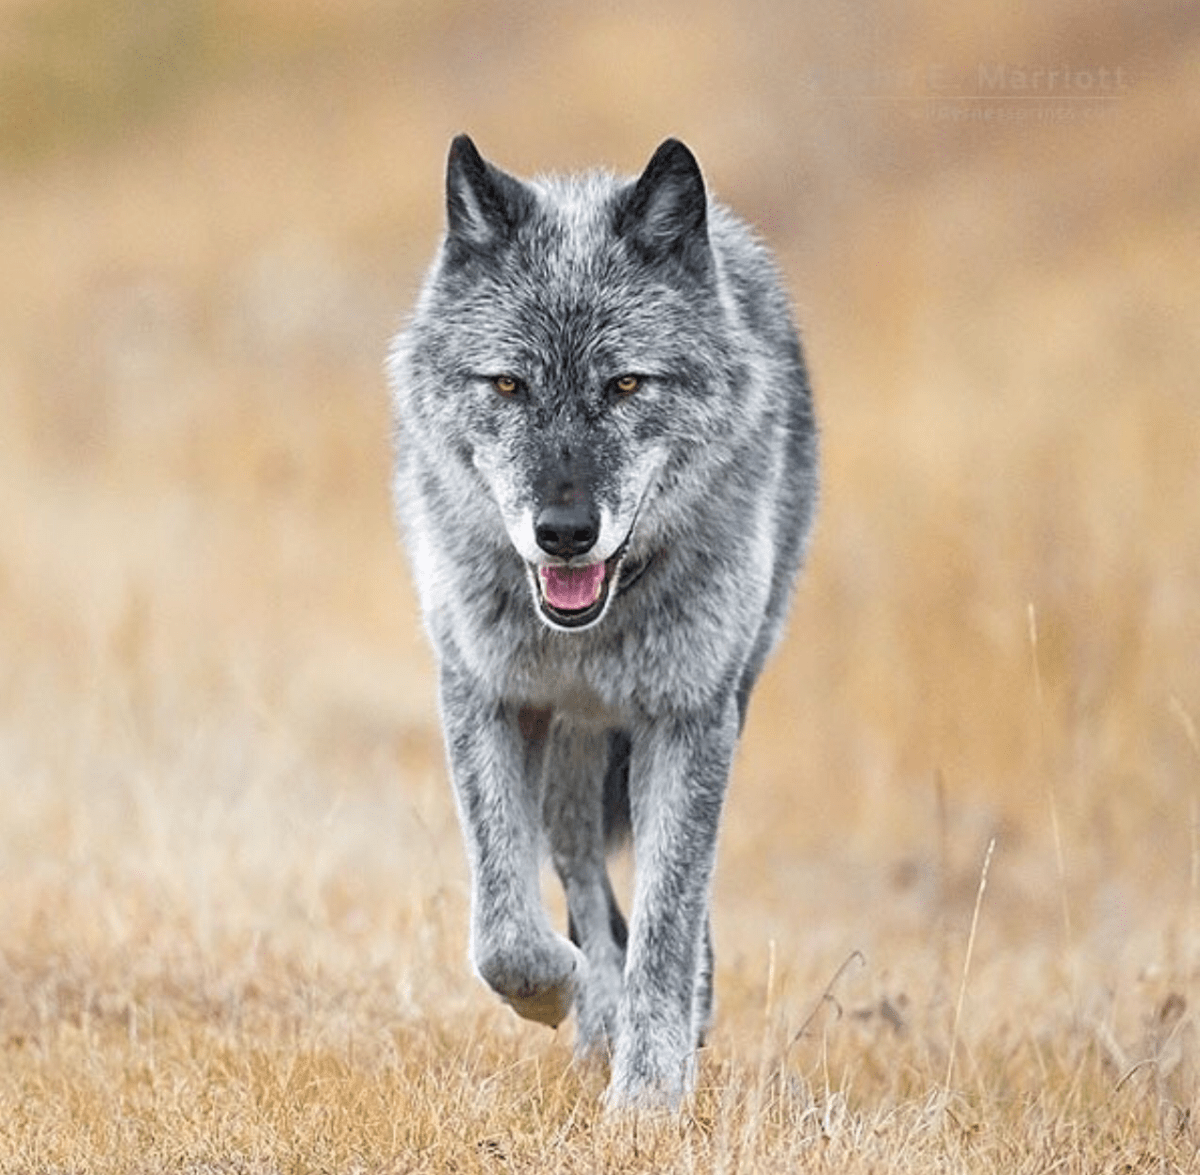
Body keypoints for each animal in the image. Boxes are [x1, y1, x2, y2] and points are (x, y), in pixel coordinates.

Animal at [387, 134, 818, 1107]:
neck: (590, 629)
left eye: (624, 384)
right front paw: (560, 993)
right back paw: (592, 1015)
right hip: (571, 751)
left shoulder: (689, 717)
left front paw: (649, 1097)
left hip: (715, 705)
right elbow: (505, 928)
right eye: (509, 383)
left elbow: (667, 918)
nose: (564, 530)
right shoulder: (484, 696)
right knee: (580, 872)